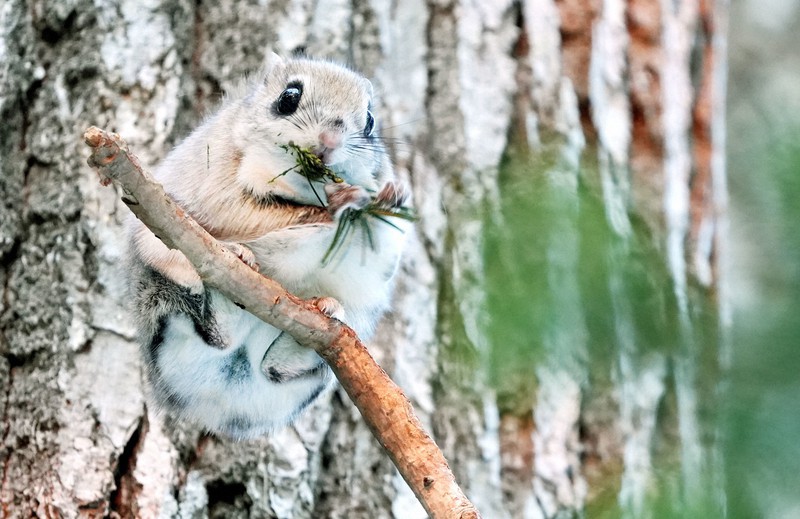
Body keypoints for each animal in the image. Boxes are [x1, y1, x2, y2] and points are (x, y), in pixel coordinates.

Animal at [128, 54, 411, 439]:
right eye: (288, 97)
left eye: (370, 121)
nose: (330, 139)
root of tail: (211, 406)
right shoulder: (222, 181)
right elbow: (254, 214)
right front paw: (338, 206)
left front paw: (389, 197)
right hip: (161, 284)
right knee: (211, 323)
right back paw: (235, 267)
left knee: (280, 366)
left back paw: (325, 310)